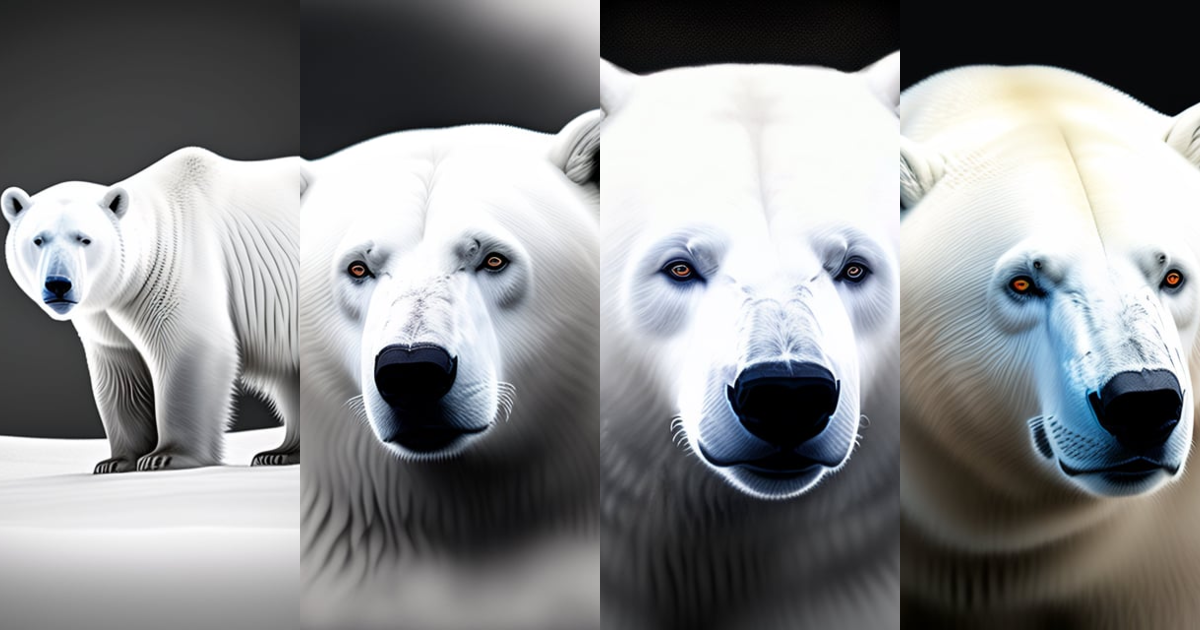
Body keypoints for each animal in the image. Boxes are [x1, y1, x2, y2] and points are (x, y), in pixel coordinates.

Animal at [2, 147, 305, 473]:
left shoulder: (177, 269)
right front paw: (116, 461)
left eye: (84, 238)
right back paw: (280, 453)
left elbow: (192, 348)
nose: (58, 284)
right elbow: (121, 376)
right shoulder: (105, 317)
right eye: (38, 239)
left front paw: (166, 456)